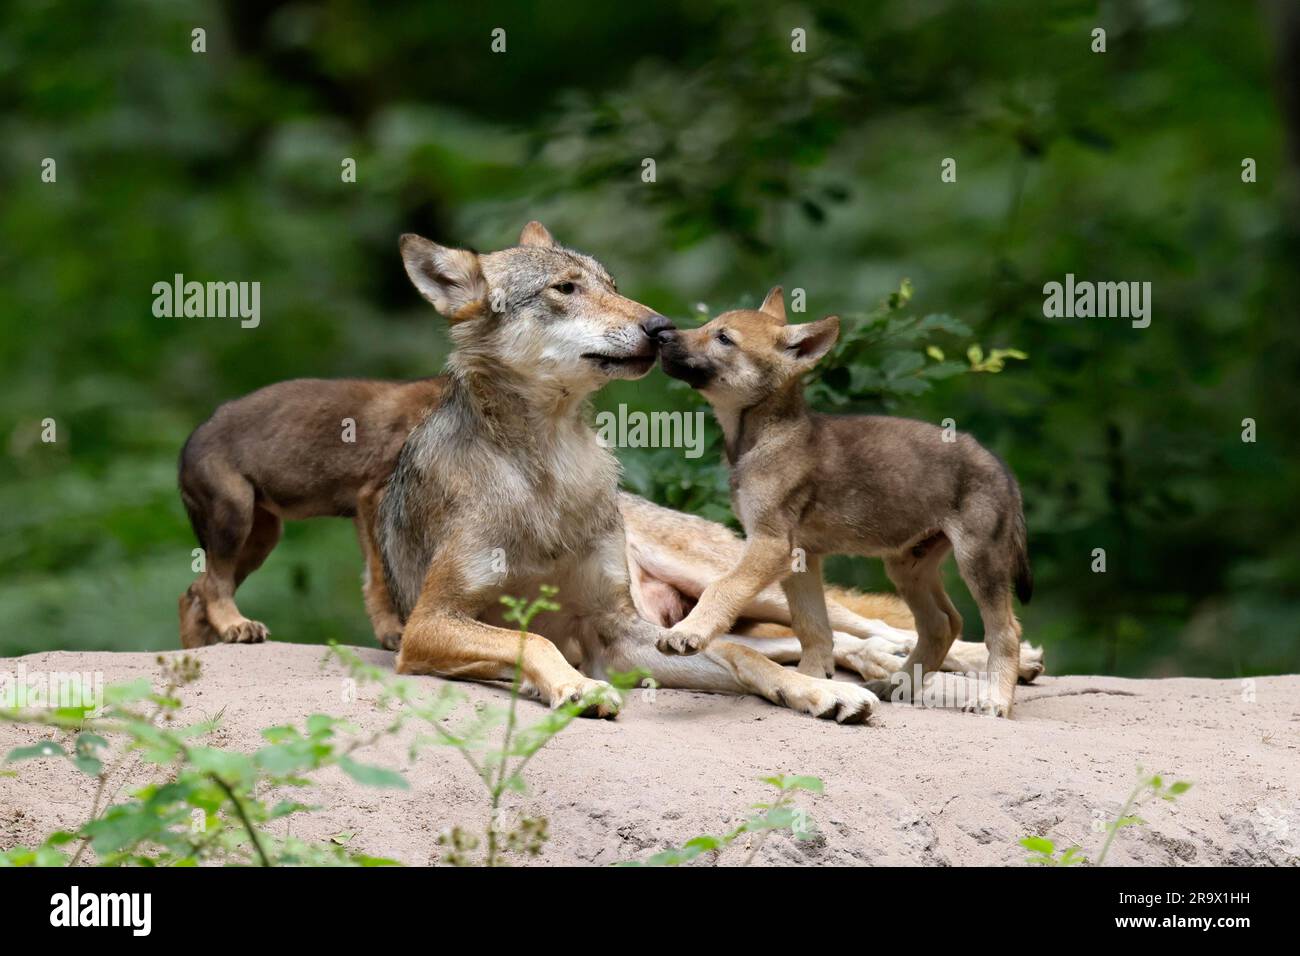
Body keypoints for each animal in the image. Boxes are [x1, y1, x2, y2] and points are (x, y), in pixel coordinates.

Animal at [656, 287, 1037, 717]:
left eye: (723, 338)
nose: (661, 335)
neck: (763, 437)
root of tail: (1002, 468)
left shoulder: (770, 544)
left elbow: (723, 588)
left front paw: (688, 632)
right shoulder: (800, 557)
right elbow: (812, 627)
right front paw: (813, 680)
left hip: (978, 561)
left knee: (1004, 631)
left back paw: (994, 700)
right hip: (909, 565)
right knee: (943, 623)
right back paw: (897, 684)